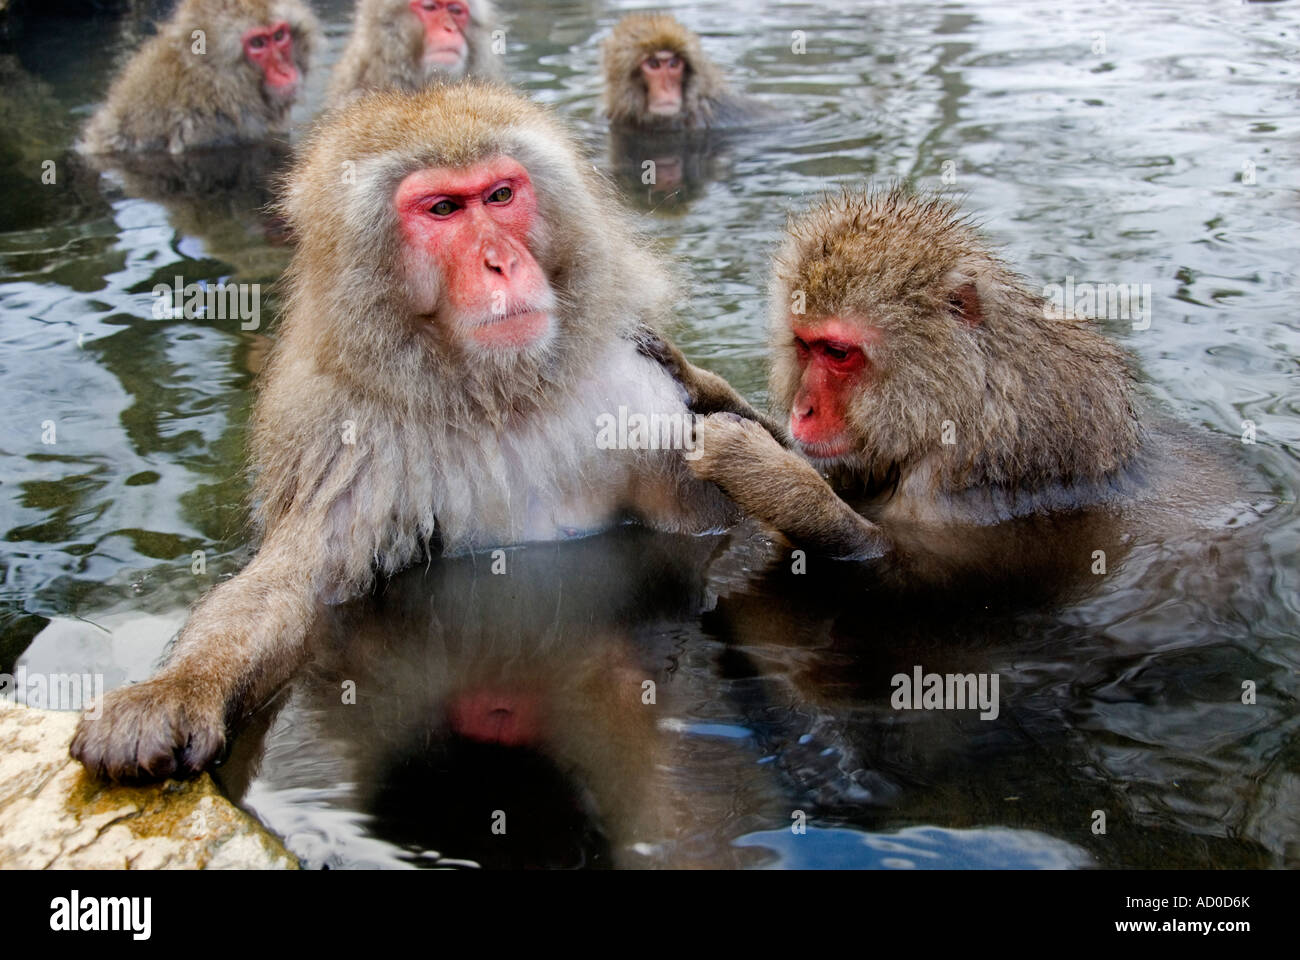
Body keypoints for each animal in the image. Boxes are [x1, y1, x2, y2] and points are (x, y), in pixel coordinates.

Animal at [70, 82, 742, 783]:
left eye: (500, 196)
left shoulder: (637, 395)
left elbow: (707, 528)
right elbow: (293, 588)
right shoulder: (338, 434)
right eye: (443, 209)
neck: (495, 396)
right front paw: (174, 691)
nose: (501, 262)